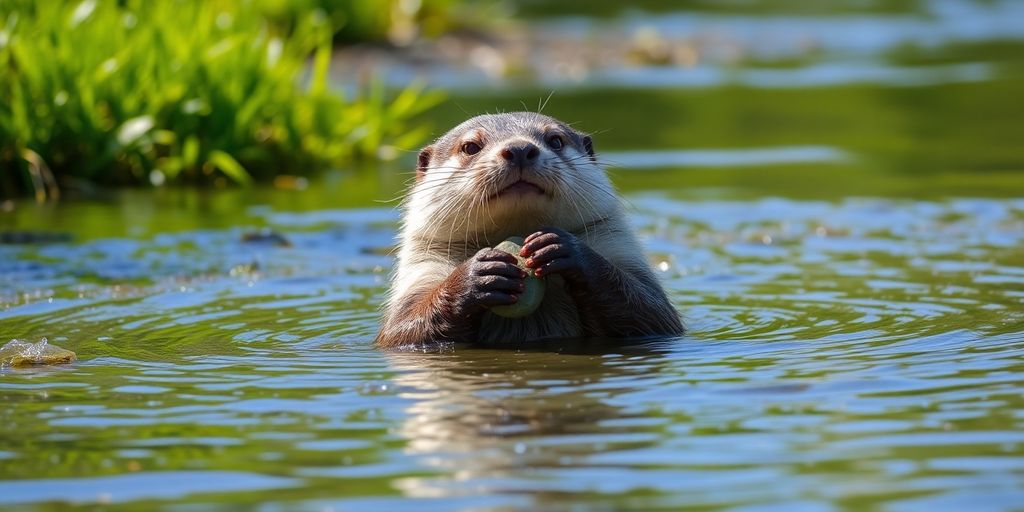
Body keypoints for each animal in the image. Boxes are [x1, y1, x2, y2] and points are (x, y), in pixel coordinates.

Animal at [375, 112, 683, 348]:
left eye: (555, 140)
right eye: (470, 146)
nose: (520, 149)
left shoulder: (621, 253)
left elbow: (651, 313)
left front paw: (563, 249)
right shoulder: (423, 273)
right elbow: (403, 330)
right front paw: (478, 274)